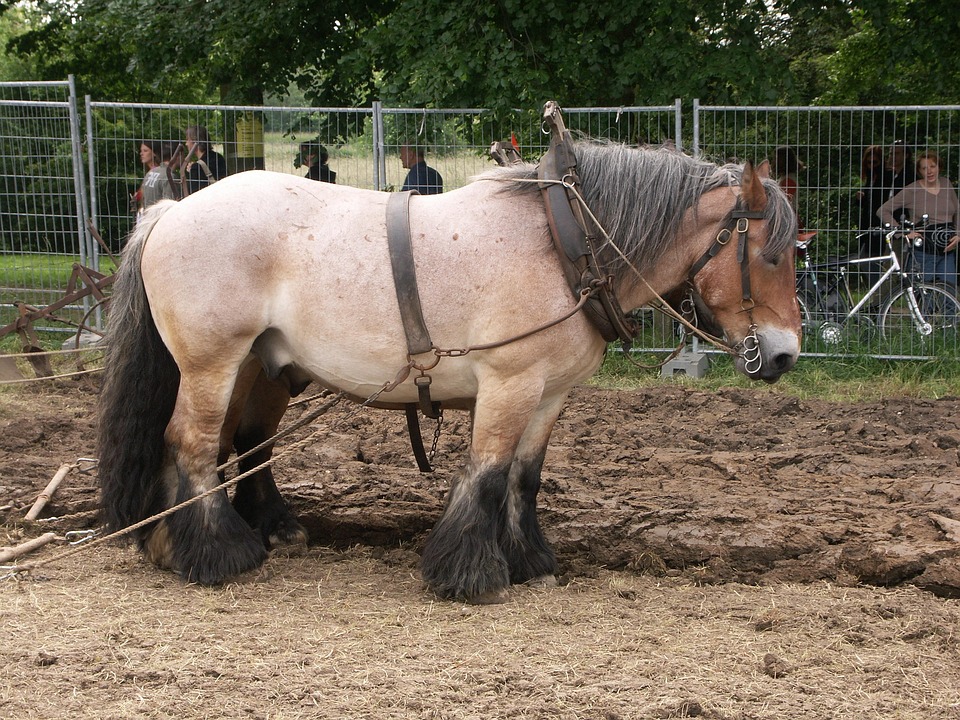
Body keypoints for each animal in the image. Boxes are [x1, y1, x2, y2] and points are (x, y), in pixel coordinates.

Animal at [97, 142, 801, 603]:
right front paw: (470, 573)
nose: (785, 354)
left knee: (241, 444)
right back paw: (218, 553)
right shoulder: (510, 384)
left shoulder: (548, 395)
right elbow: (487, 473)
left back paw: (201, 538)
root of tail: (169, 212)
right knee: (191, 444)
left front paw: (529, 558)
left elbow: (524, 478)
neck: (562, 245)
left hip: (257, 366)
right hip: (212, 362)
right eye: (769, 255)